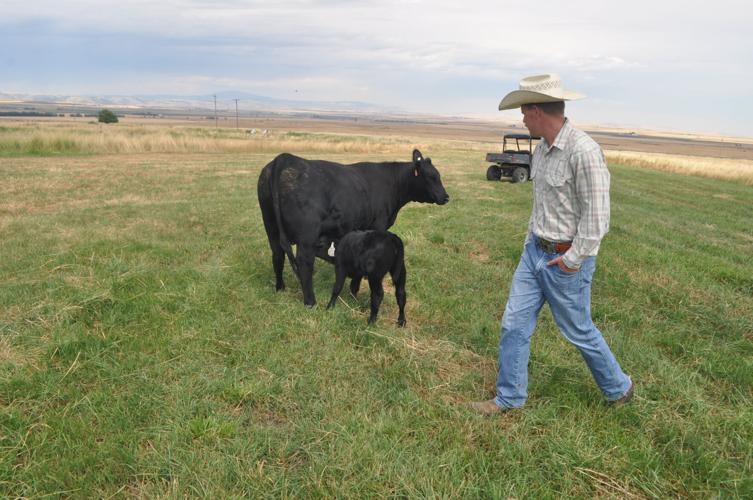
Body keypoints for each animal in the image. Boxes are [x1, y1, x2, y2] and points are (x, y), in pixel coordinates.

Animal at [257, 149, 449, 306]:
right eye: (431, 177)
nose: (446, 197)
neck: (393, 184)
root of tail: (285, 158)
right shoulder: (378, 227)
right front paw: (354, 292)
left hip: (270, 225)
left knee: (277, 255)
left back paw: (280, 288)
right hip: (307, 235)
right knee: (305, 262)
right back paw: (310, 301)